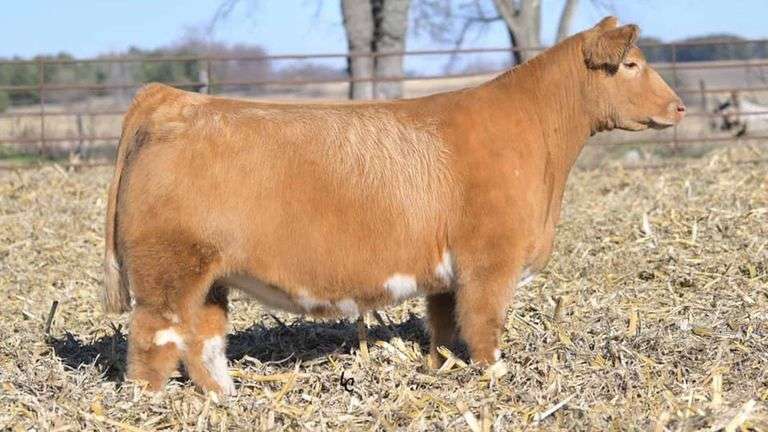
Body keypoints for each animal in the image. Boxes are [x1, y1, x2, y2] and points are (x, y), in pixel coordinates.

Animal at [102, 16, 685, 395]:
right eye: (632, 63)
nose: (679, 107)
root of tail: (174, 98)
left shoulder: (449, 274)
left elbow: (446, 327)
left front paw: (440, 368)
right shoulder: (489, 263)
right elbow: (484, 326)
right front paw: (496, 378)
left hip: (207, 277)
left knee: (202, 338)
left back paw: (224, 397)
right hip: (168, 271)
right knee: (153, 341)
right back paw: (150, 403)